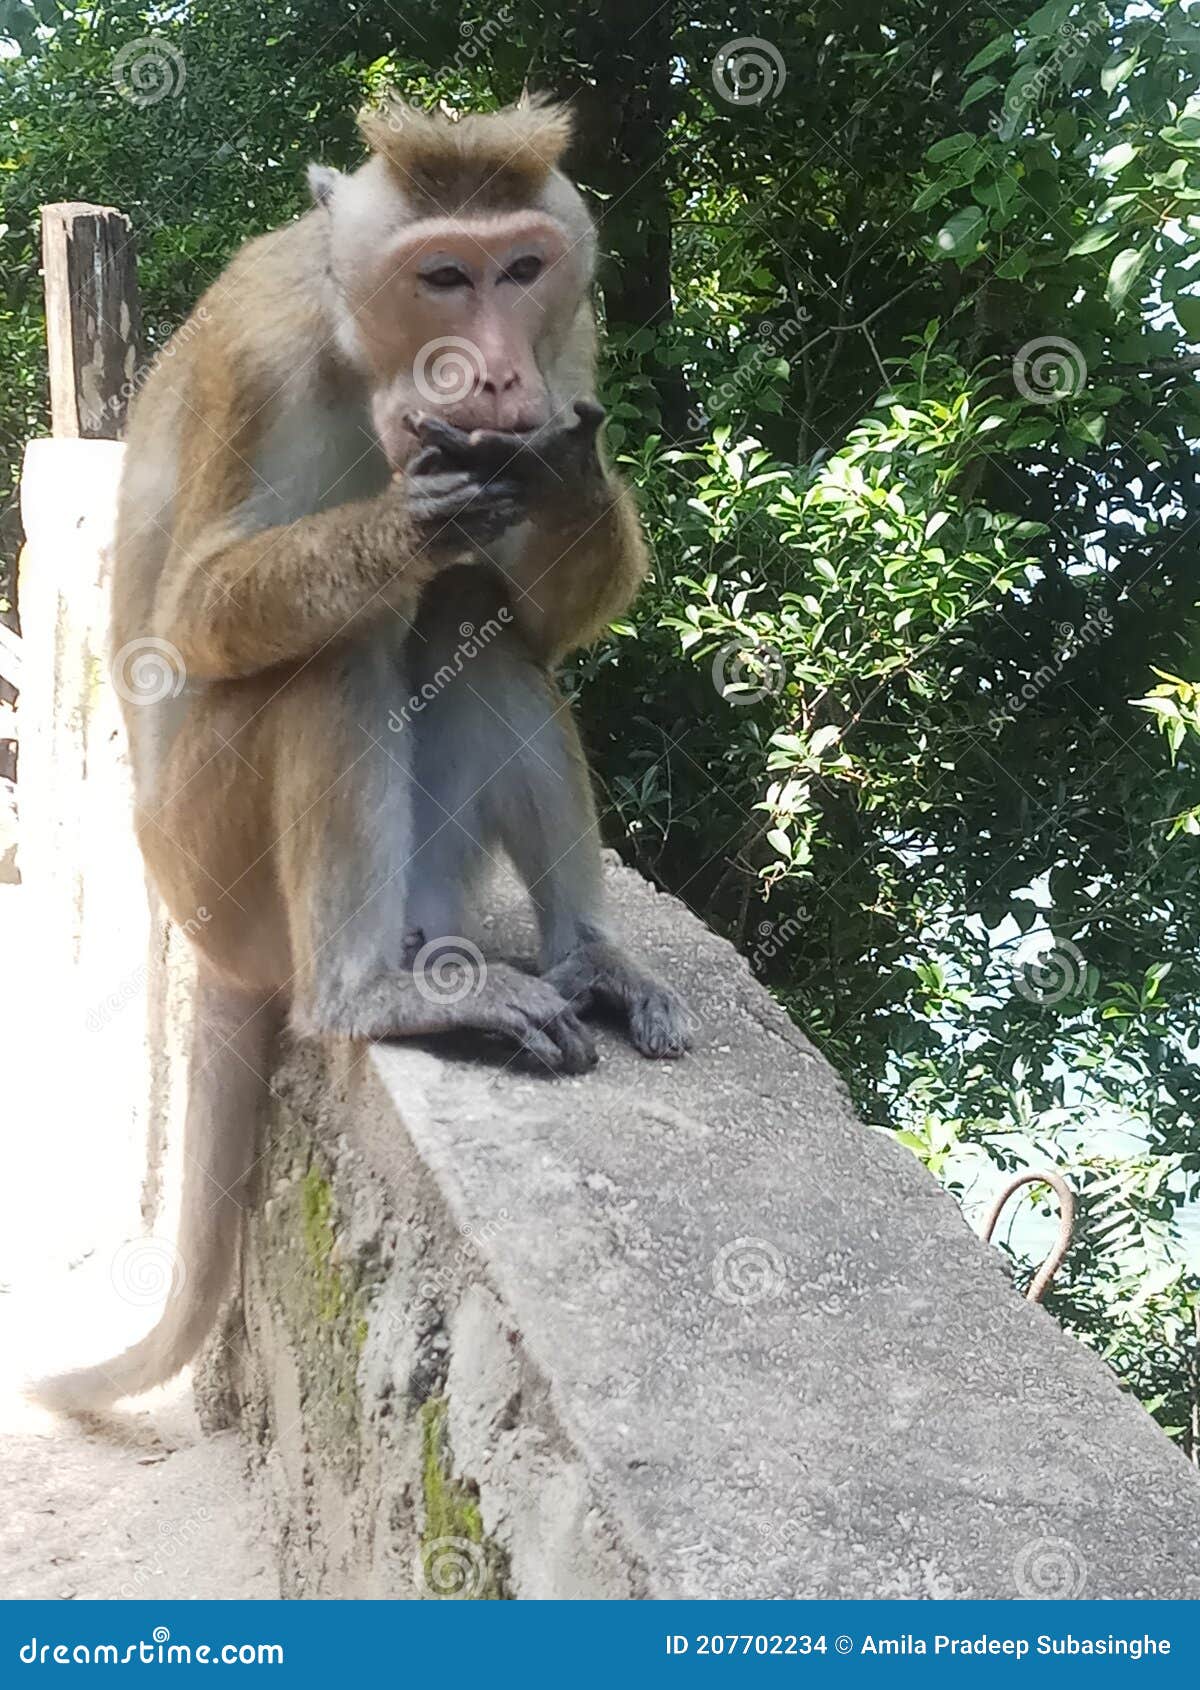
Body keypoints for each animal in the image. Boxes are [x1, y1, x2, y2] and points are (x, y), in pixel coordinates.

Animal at [35, 96, 690, 1414]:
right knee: (332, 658)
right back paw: (364, 995)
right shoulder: (262, 363)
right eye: (442, 277)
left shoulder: (574, 343)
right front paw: (412, 520)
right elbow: (190, 613)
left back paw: (582, 959)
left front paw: (563, 470)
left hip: (429, 867)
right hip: (217, 869)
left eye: (521, 270)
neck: (356, 351)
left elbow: (535, 621)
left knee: (482, 631)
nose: (494, 371)